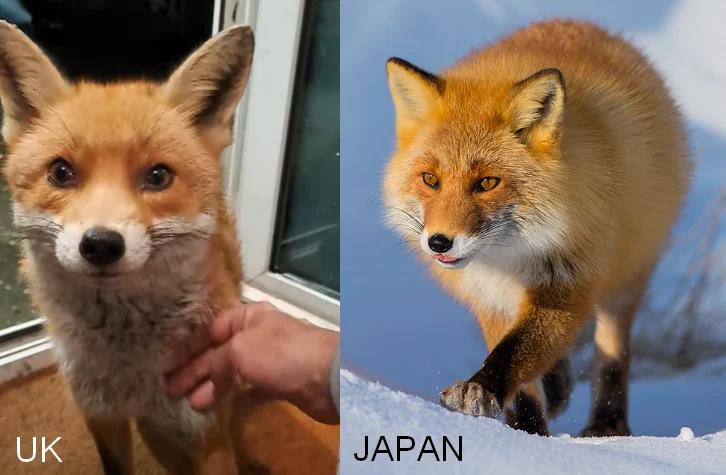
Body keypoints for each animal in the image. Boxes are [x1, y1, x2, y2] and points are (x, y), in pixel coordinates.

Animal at [0, 21, 254, 474]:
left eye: (157, 176)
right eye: (61, 172)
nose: (101, 245)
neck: (132, 376)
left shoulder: (207, 433)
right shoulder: (101, 418)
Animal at [383, 18, 691, 437]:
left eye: (487, 183)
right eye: (430, 180)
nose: (439, 243)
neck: (511, 257)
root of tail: (586, 24)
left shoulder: (568, 283)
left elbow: (515, 351)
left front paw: (485, 391)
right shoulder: (490, 296)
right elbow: (519, 372)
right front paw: (527, 430)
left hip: (627, 278)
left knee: (613, 352)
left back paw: (608, 423)